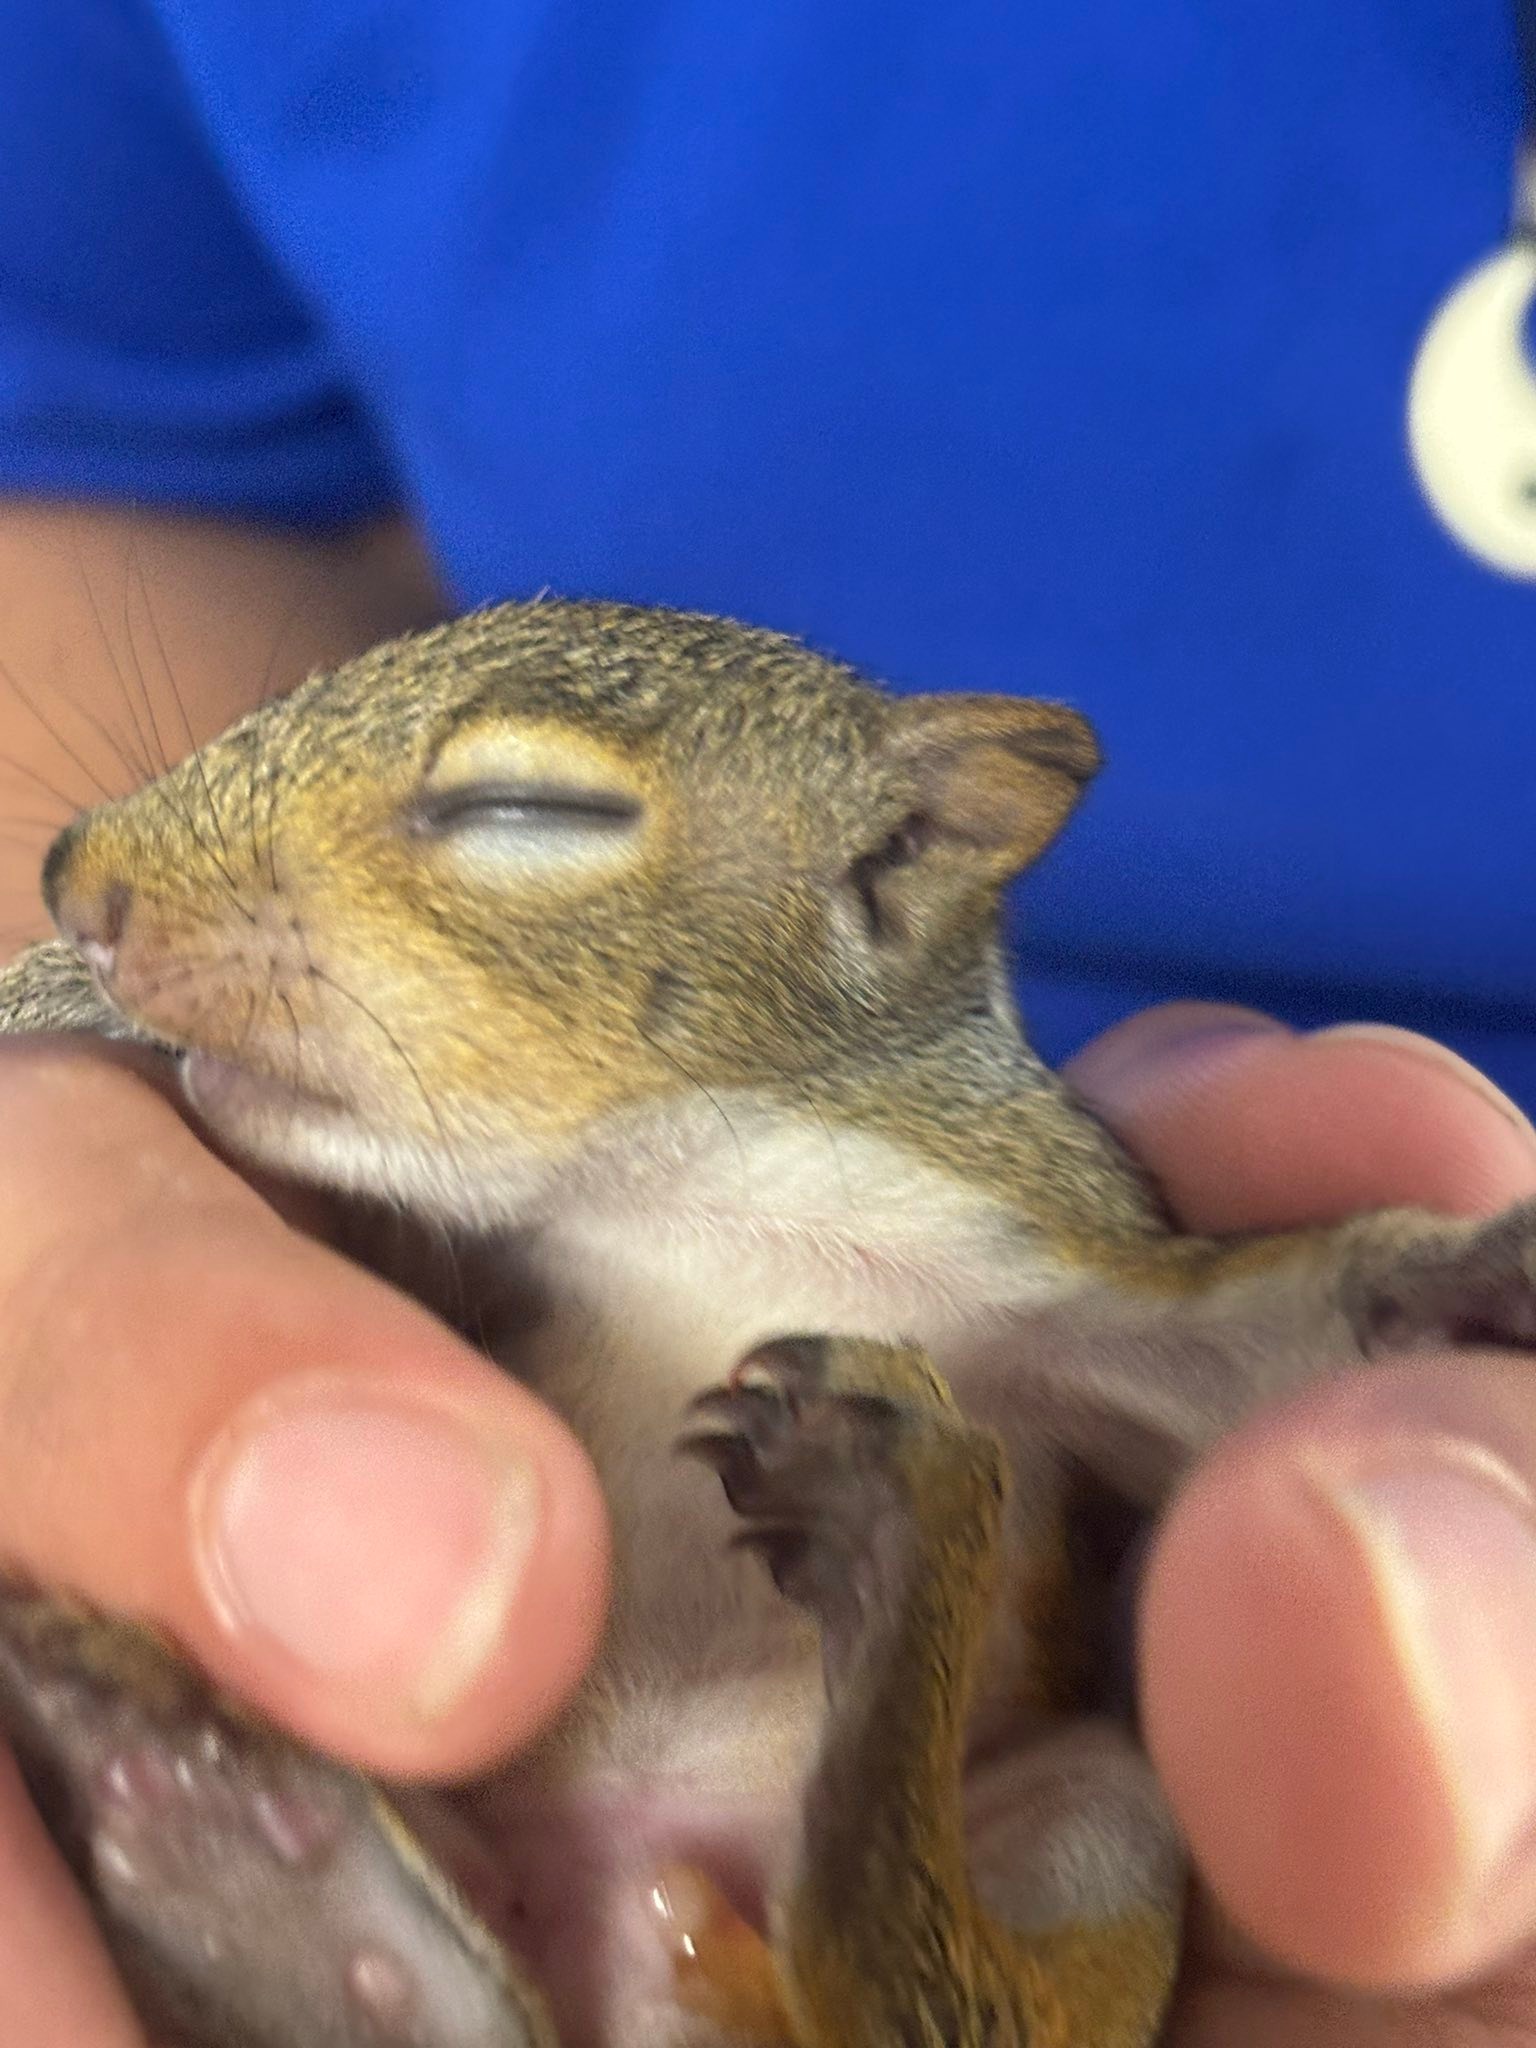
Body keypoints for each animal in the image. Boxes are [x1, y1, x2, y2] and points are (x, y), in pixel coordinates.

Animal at [1, 596, 1534, 2048]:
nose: (75, 880)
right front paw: (41, 995)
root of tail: (634, 1936)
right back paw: (205, 1819)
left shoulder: (1066, 1266)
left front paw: (1475, 1277)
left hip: (1102, 1817)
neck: (685, 1199)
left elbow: (1291, 1329)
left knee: (925, 2002)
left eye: (530, 809)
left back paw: (894, 1532)